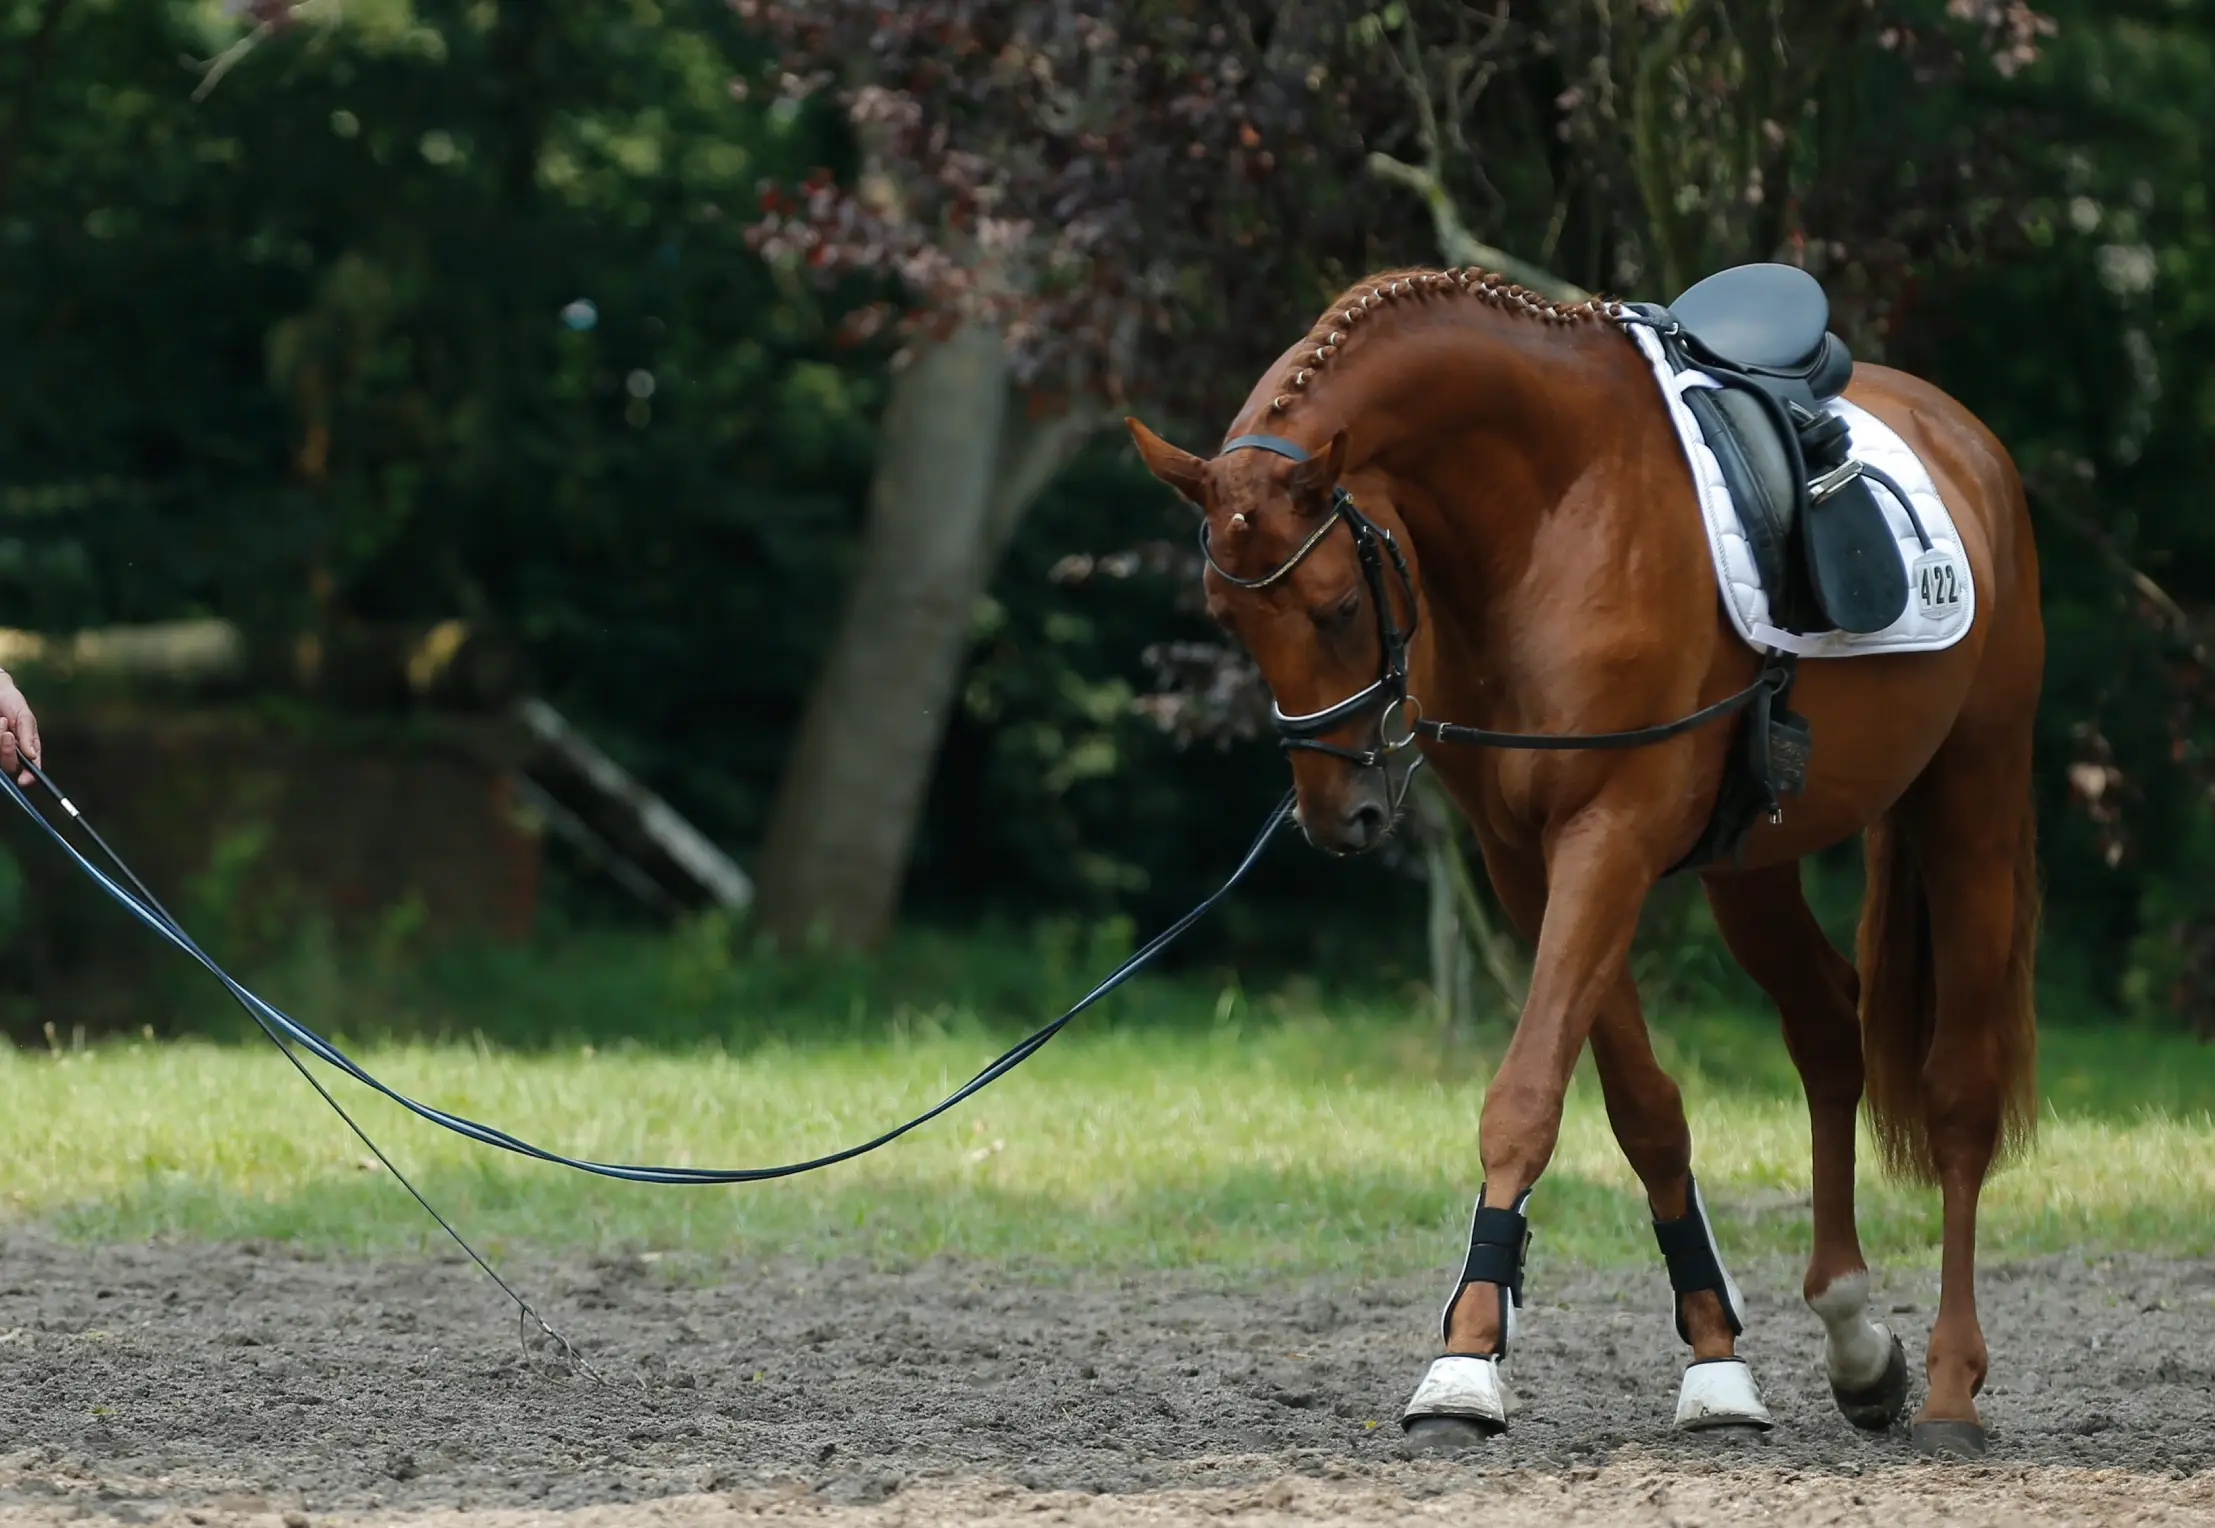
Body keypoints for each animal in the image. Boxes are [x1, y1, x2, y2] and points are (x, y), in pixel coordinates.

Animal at [1125, 265, 2042, 1460]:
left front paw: (1464, 1364)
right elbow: (1641, 1108)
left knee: (1956, 1092)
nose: (1341, 816)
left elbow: (1524, 1096)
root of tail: (1965, 436)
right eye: (1226, 619)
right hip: (1749, 863)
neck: (1546, 516)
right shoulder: (1528, 860)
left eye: (1337, 606)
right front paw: (1715, 1366)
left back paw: (1946, 1389)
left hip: (1970, 797)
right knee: (1825, 1030)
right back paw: (1853, 1338)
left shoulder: (1609, 834)